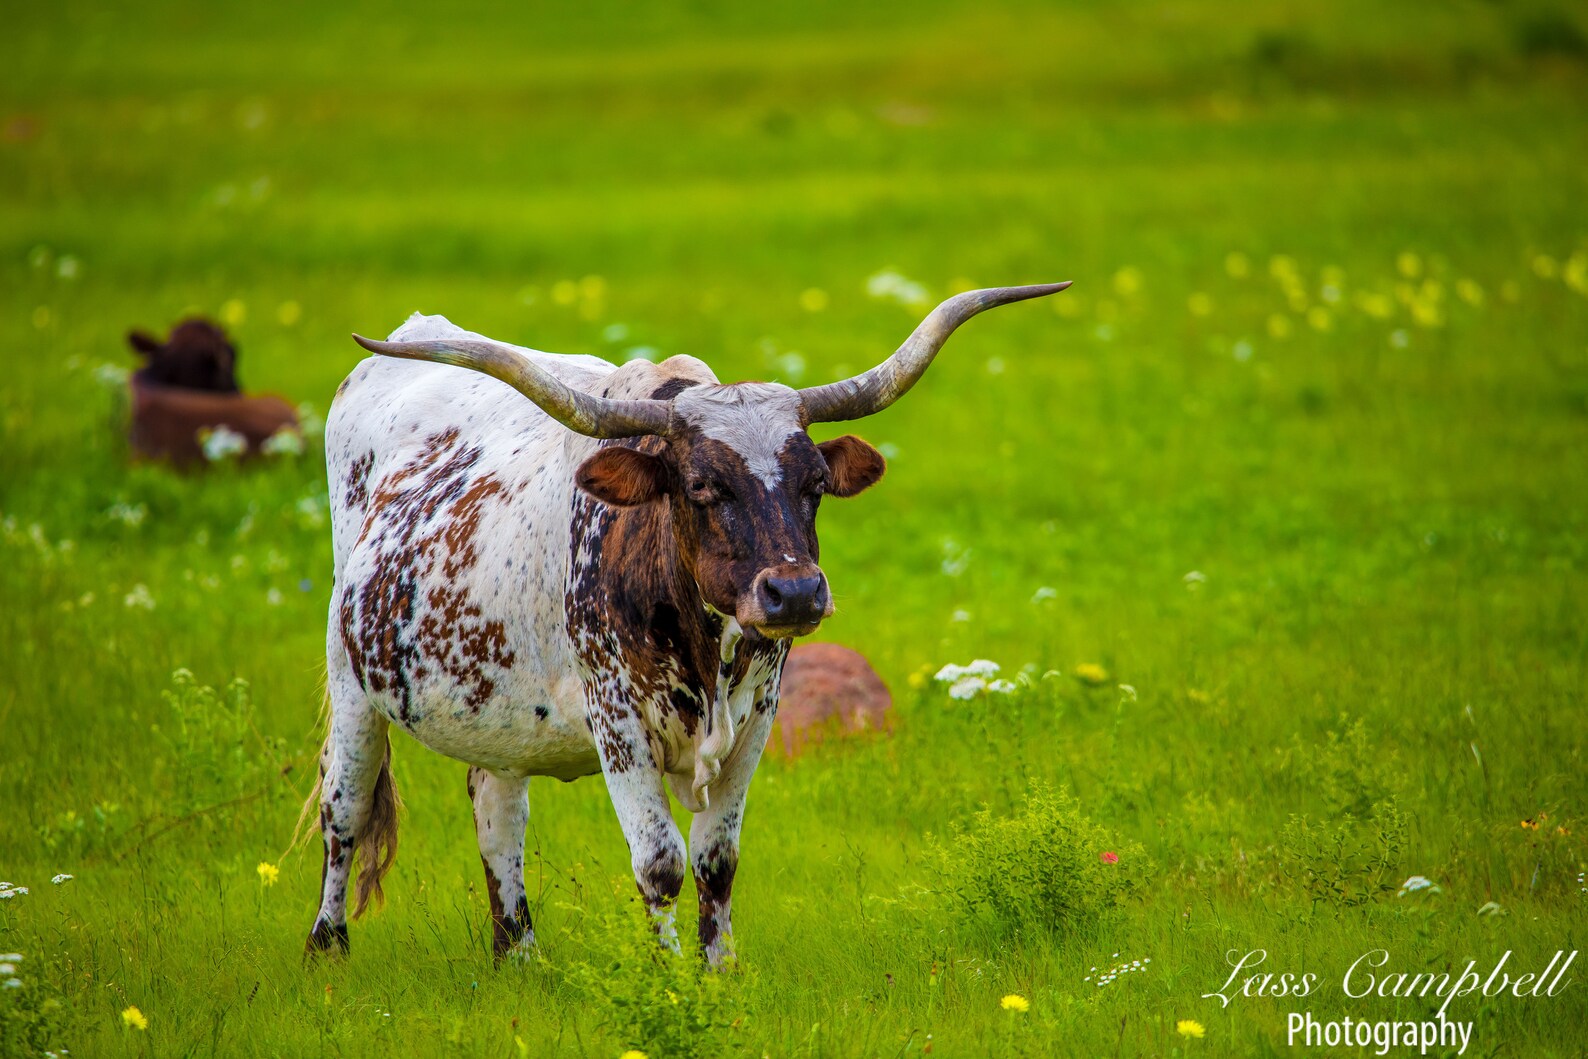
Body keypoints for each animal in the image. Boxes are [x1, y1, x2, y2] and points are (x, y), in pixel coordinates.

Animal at [308, 282, 1069, 964]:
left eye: (816, 484)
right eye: (703, 485)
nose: (795, 593)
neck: (705, 651)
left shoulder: (758, 716)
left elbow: (715, 859)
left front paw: (718, 970)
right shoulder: (617, 723)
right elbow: (661, 862)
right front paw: (670, 975)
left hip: (497, 715)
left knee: (498, 812)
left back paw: (518, 955)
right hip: (350, 680)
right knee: (344, 810)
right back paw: (327, 947)